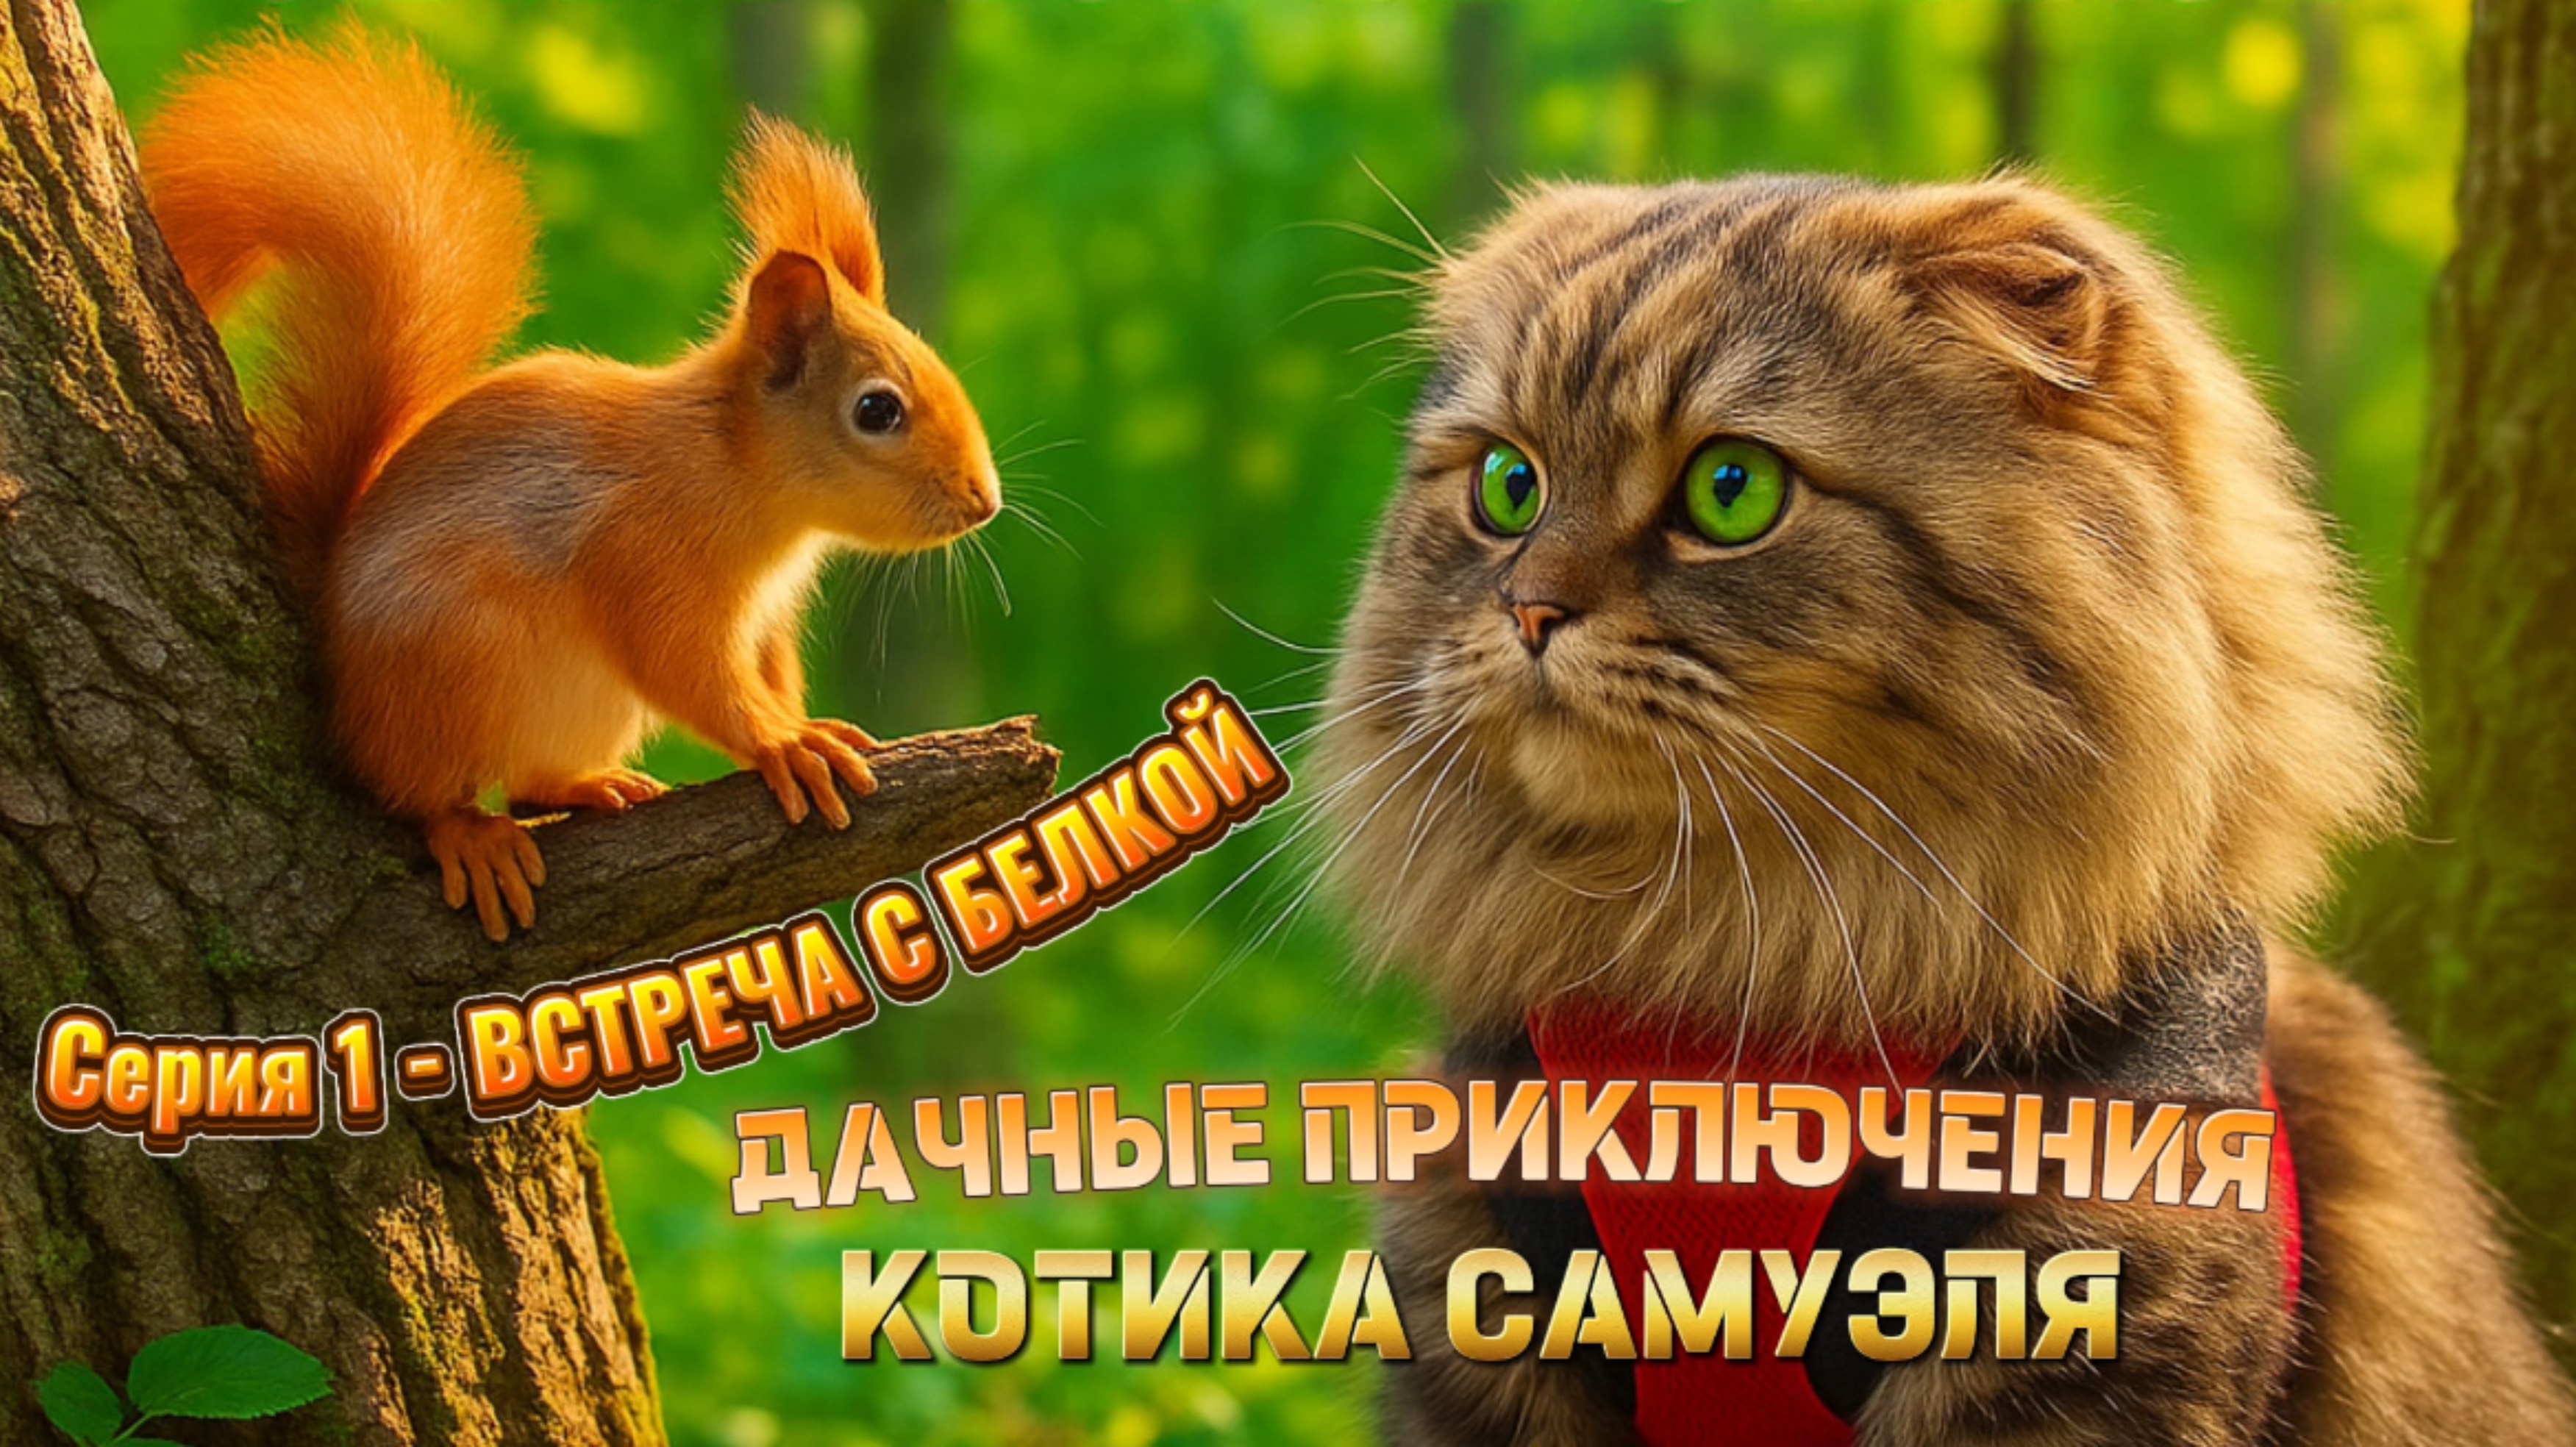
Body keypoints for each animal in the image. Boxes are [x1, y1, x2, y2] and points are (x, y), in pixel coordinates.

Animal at [138, 30, 999, 941]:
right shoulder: (645, 554)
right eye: (876, 410)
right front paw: (782, 745)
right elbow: (689, 671)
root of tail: (341, 668)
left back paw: (589, 784)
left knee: (525, 784)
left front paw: (800, 721)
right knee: (415, 791)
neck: (739, 472)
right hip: (454, 670)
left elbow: (766, 670)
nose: (984, 501)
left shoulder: (767, 613)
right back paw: (468, 830)